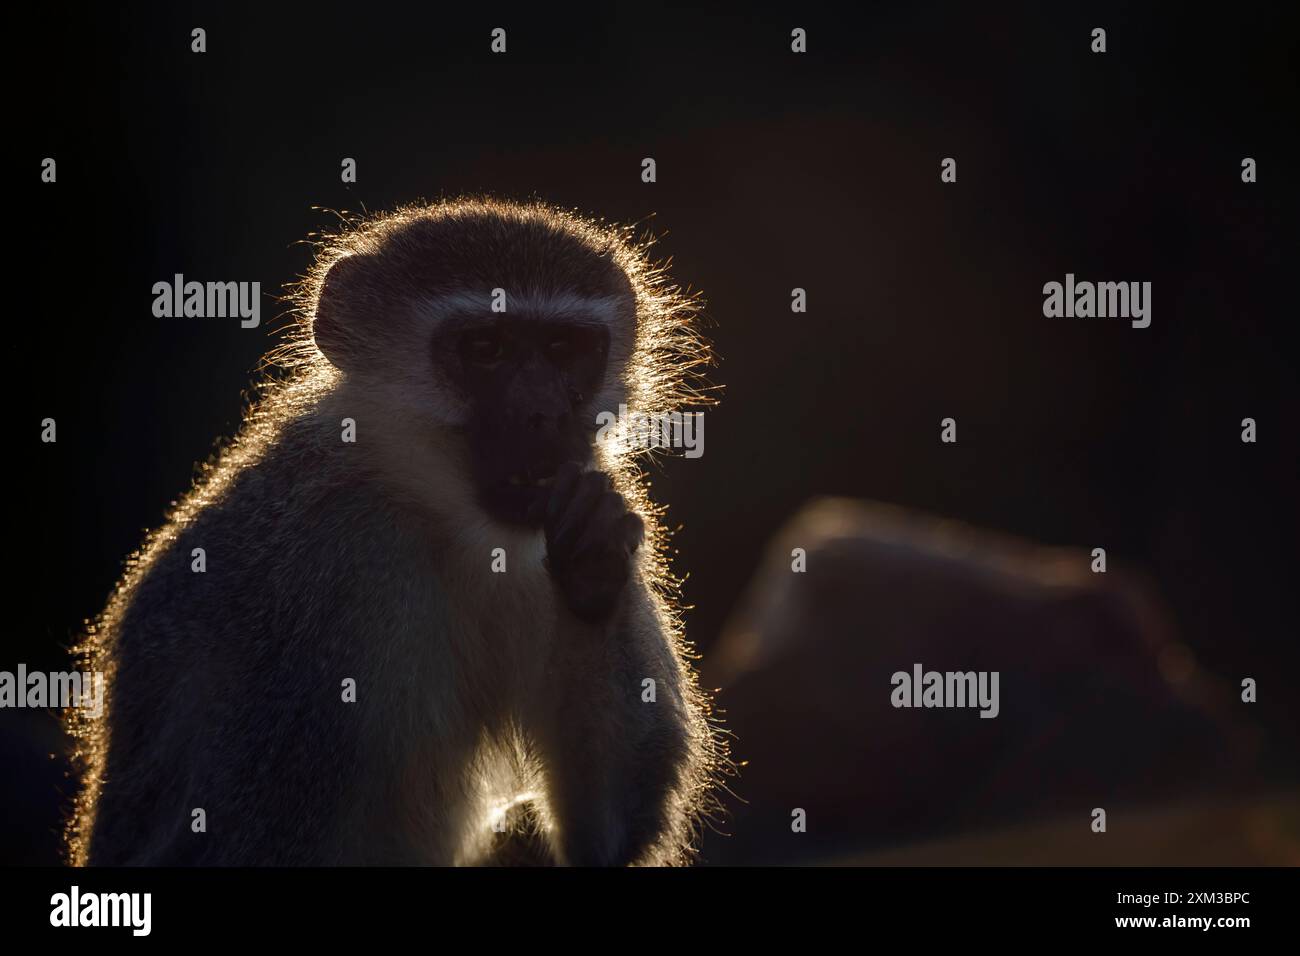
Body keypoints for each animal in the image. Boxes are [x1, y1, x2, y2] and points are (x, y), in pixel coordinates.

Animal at [63, 197, 725, 866]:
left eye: (565, 348)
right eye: (485, 347)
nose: (544, 412)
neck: (429, 509)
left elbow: (604, 836)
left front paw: (593, 562)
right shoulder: (333, 571)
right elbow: (241, 837)